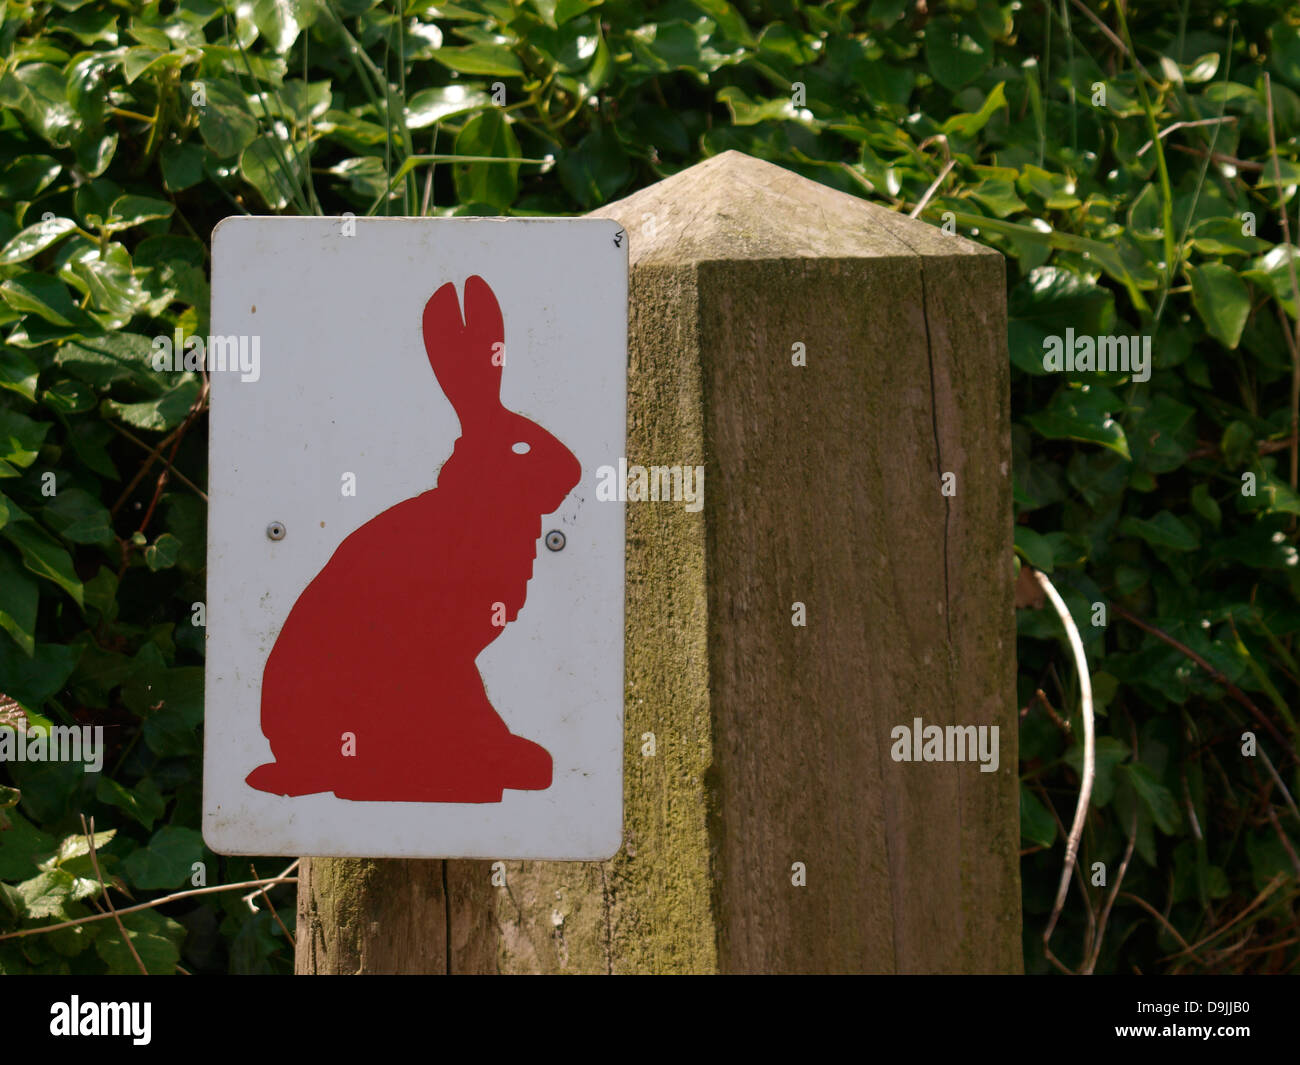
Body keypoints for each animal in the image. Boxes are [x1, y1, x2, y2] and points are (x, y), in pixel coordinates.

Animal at [245, 275, 581, 803]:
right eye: (522, 446)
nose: (578, 472)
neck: (476, 500)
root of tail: (290, 762)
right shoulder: (446, 650)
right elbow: (466, 699)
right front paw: (491, 761)